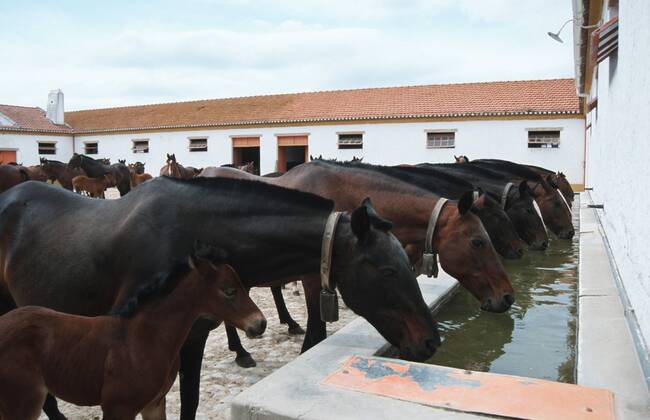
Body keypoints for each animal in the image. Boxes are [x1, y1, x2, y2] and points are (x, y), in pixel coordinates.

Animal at [0, 242, 266, 420]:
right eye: (229, 291)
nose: (260, 323)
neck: (144, 339)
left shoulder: (154, 404)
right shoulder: (118, 408)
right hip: (22, 401)